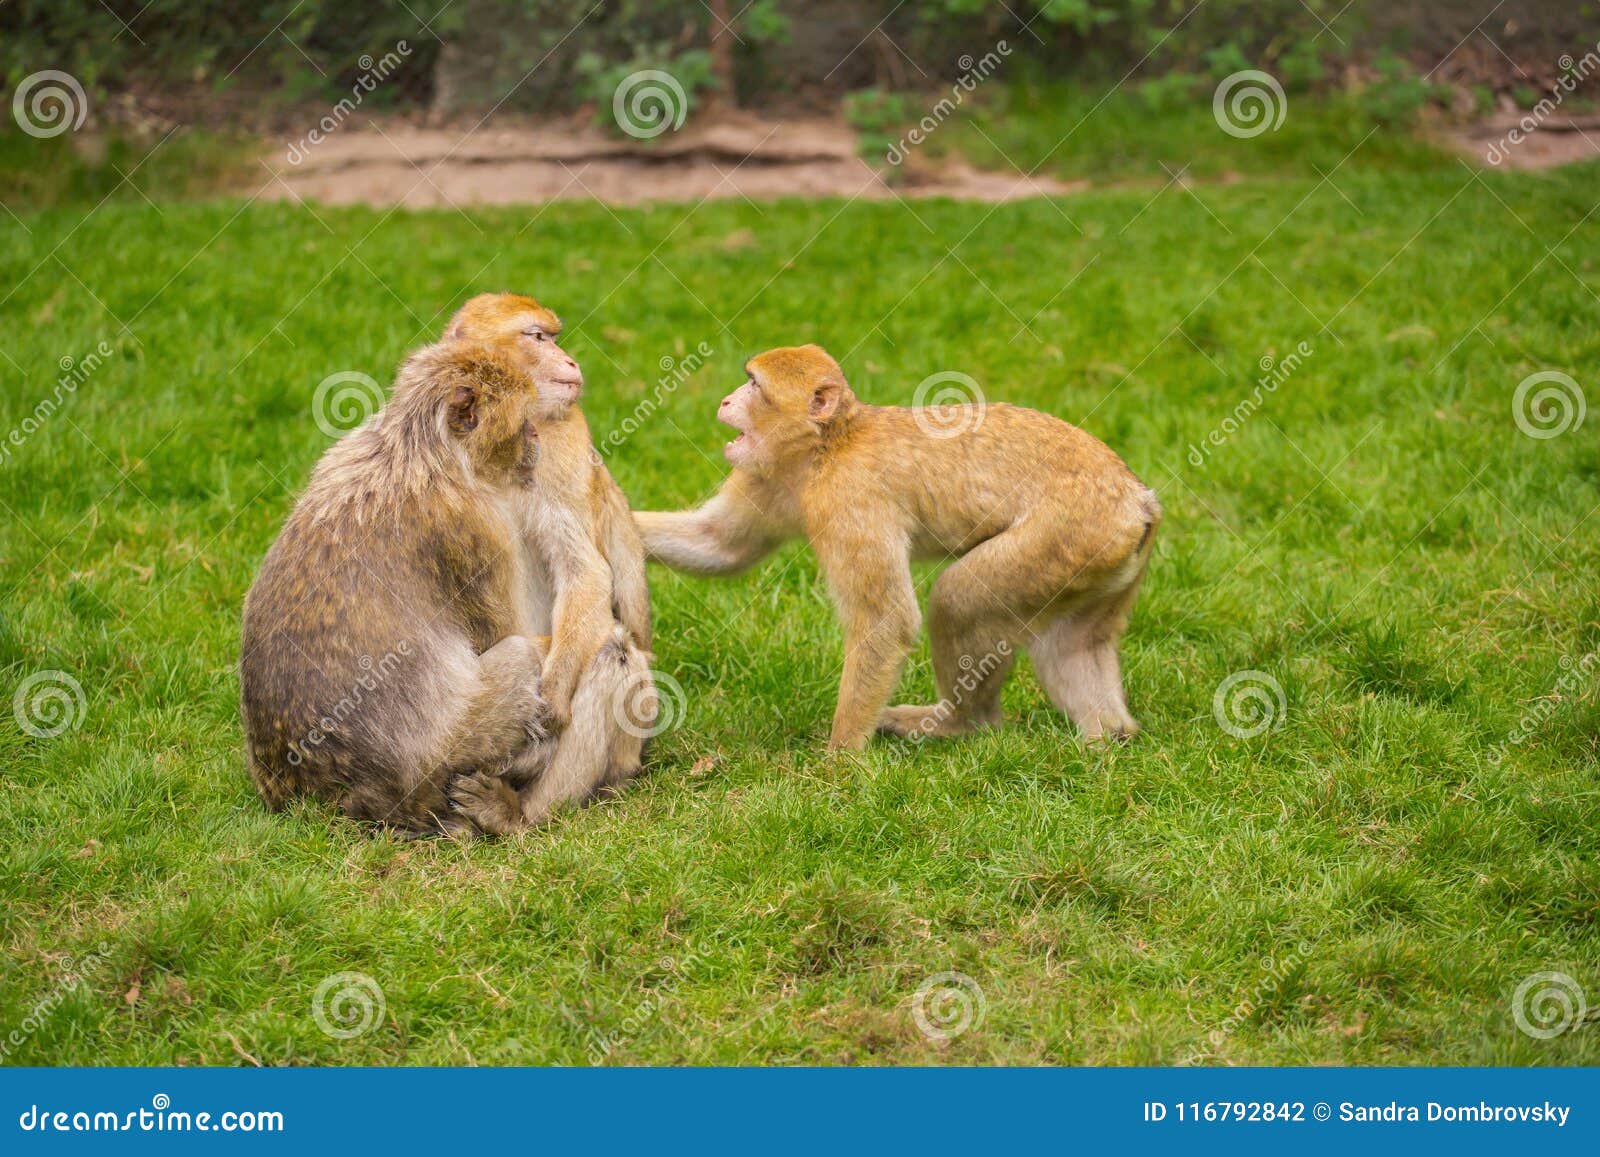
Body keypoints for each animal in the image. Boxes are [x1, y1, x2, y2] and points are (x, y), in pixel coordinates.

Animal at [240, 337, 651, 837]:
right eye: (524, 423)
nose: (535, 441)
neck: (422, 448)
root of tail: (334, 801)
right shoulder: (475, 526)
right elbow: (510, 632)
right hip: (456, 757)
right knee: (551, 654)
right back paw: (519, 812)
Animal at [633, 344, 1160, 751]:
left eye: (753, 385)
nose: (725, 400)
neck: (826, 448)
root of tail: (1137, 500)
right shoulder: (767, 476)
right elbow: (720, 546)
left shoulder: (848, 499)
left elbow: (886, 620)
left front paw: (840, 761)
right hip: (1104, 565)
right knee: (1071, 642)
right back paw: (1110, 733)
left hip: (1067, 538)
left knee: (959, 599)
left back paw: (962, 723)